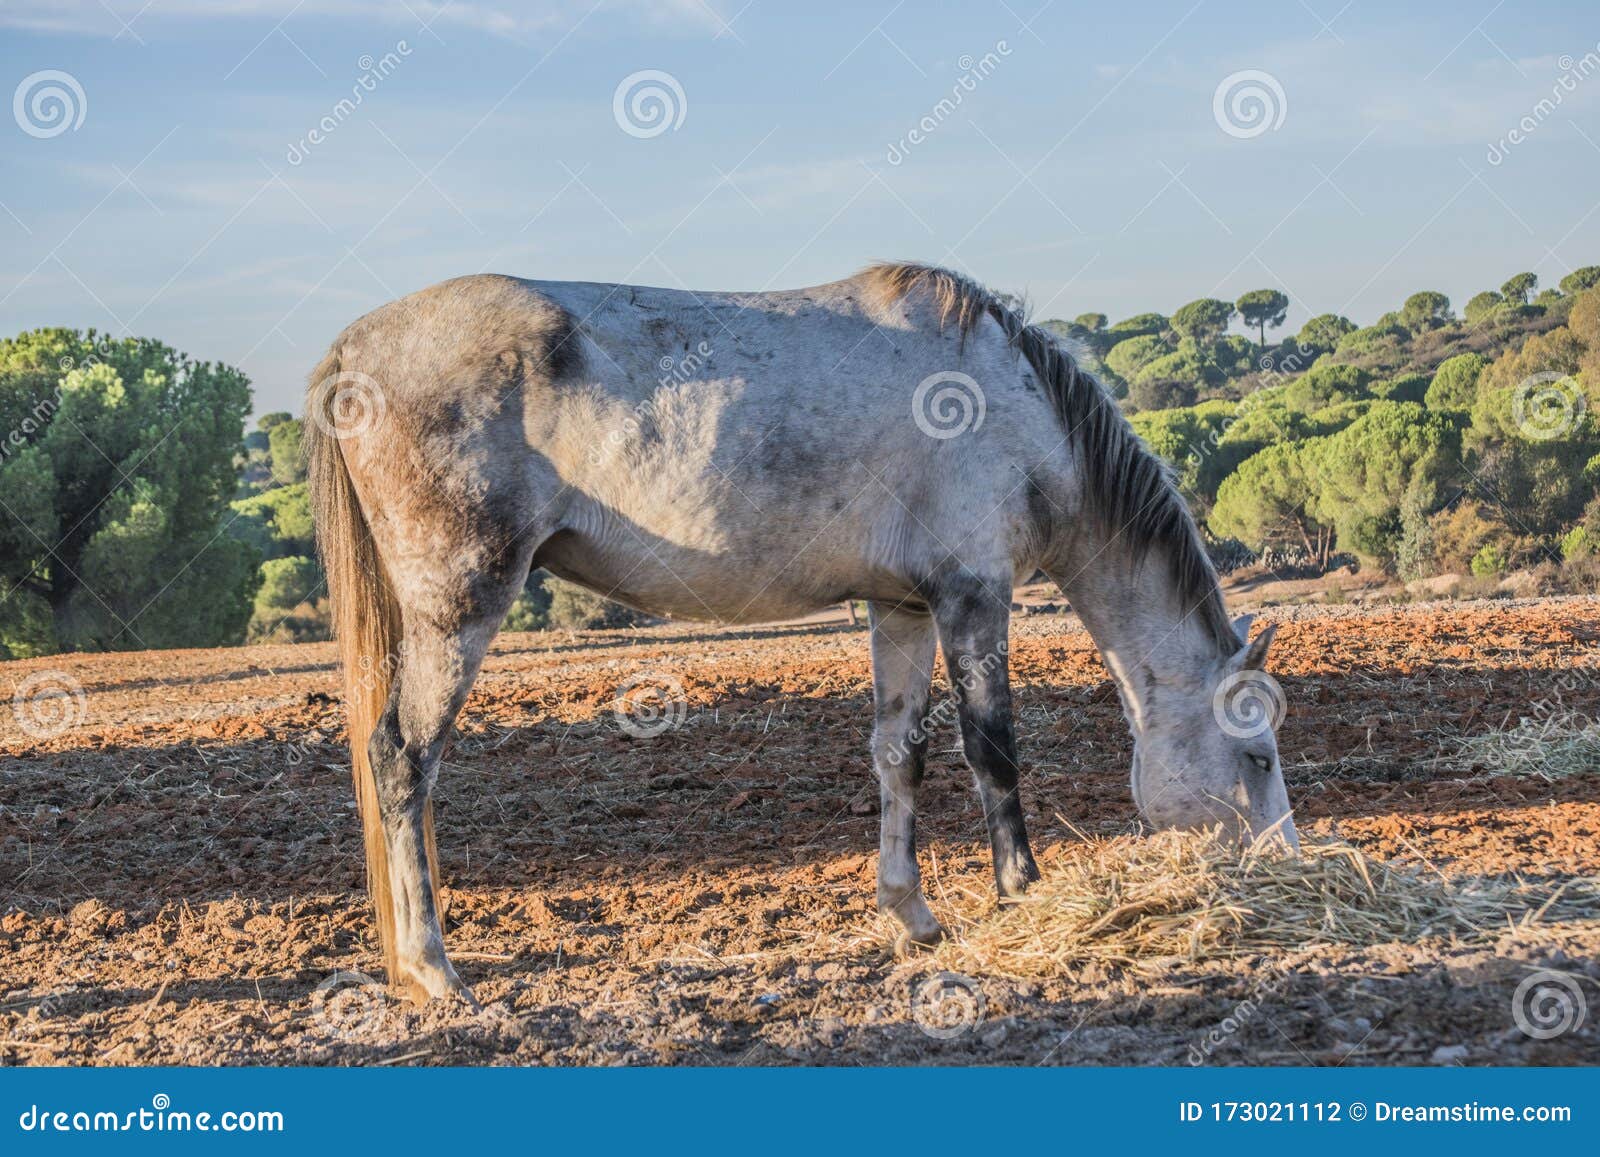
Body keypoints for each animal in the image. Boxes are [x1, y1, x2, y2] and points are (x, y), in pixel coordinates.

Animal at [304, 262, 1296, 1004]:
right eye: (1256, 755)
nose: (1286, 864)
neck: (1013, 403)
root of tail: (351, 348)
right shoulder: (974, 594)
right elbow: (993, 749)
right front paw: (1021, 890)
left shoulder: (902, 607)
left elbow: (901, 755)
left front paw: (911, 914)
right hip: (459, 606)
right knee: (403, 761)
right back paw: (434, 968)